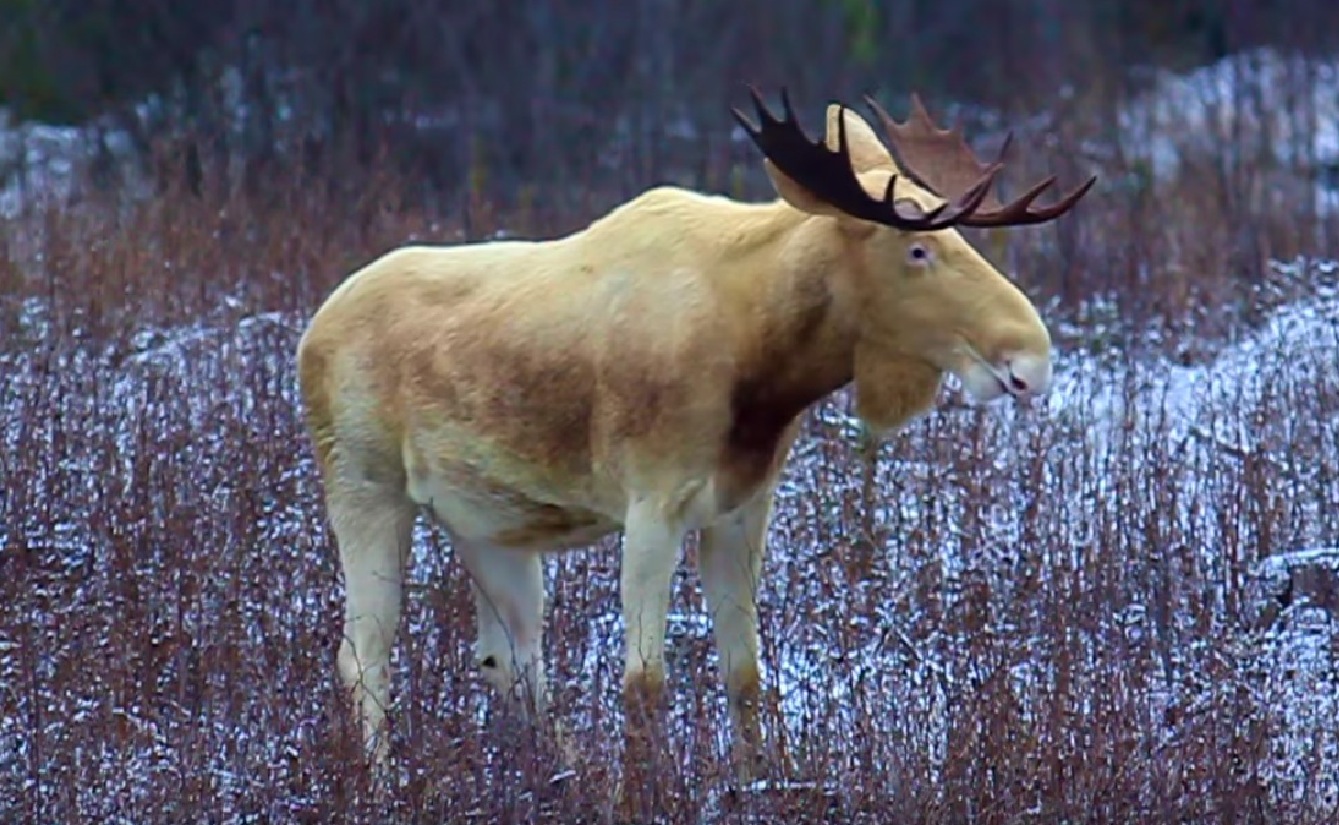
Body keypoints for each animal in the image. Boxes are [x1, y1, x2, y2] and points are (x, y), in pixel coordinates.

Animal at [295, 87, 1095, 808]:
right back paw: (384, 792)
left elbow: (744, 670)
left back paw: (557, 781)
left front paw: (758, 782)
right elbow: (644, 682)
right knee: (361, 655)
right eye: (918, 247)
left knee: (509, 660)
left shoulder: (741, 507)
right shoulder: (653, 503)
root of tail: (312, 331)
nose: (1031, 360)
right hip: (364, 488)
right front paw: (641, 795)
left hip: (491, 528)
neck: (765, 366)